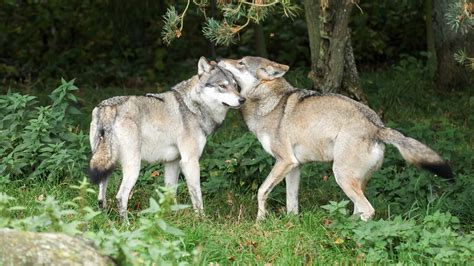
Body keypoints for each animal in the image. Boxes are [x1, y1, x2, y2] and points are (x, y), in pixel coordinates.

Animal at [89, 57, 246, 219]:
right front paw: (201, 220)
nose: (243, 100)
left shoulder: (172, 162)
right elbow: (197, 197)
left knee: (101, 197)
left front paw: (171, 218)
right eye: (222, 86)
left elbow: (170, 194)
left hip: (106, 165)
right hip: (133, 167)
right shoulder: (190, 162)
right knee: (120, 196)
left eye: (235, 85)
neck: (193, 106)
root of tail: (107, 107)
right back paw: (126, 224)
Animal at [218, 55, 452, 220]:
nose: (219, 60)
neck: (267, 100)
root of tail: (378, 126)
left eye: (240, 63)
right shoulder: (294, 166)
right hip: (355, 181)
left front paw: (260, 221)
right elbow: (291, 203)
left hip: (341, 175)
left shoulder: (284, 161)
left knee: (368, 210)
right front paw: (291, 225)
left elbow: (261, 191)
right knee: (359, 210)